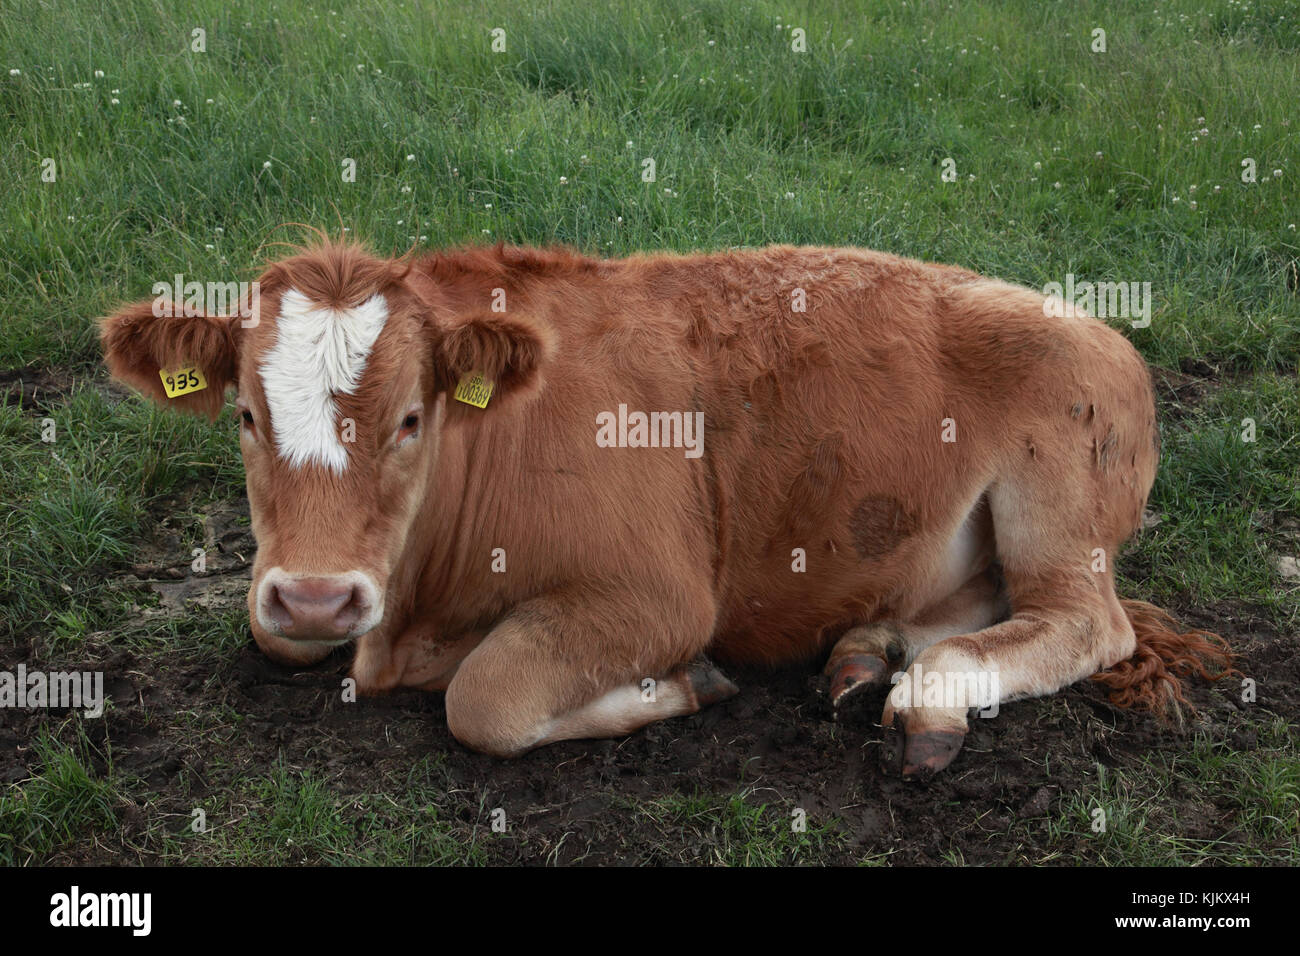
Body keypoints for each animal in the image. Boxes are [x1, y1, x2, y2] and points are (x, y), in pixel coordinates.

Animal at [100, 238, 1231, 777]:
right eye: (246, 416)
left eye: (414, 417)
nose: (320, 595)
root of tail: (1099, 326)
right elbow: (267, 632)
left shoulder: (656, 595)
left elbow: (485, 697)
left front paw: (680, 685)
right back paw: (869, 651)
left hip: (1060, 505)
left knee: (1083, 622)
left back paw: (931, 692)